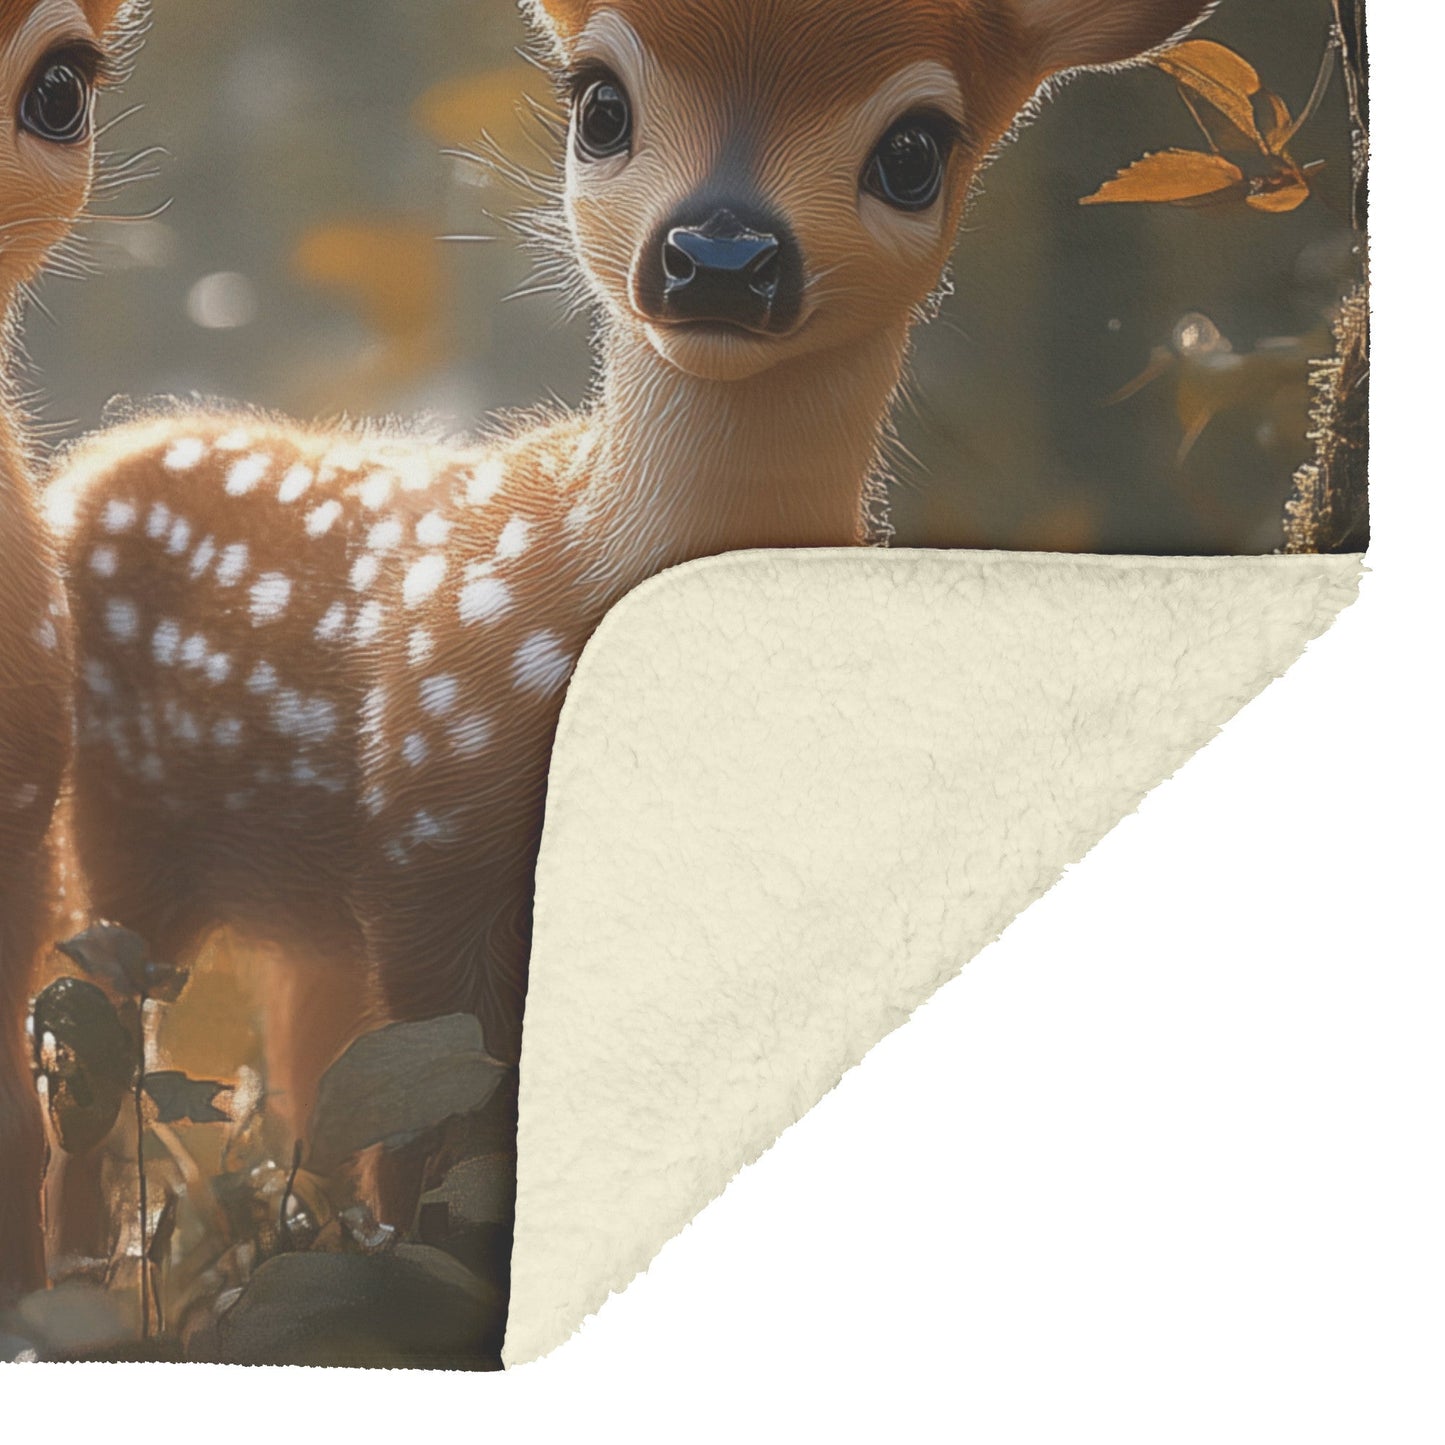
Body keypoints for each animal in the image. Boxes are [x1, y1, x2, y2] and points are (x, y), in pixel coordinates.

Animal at [48, 0, 1216, 1219]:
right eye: (599, 103)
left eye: (914, 151)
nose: (720, 256)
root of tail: (86, 463)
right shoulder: (427, 836)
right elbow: (436, 1145)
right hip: (123, 837)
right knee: (93, 1073)